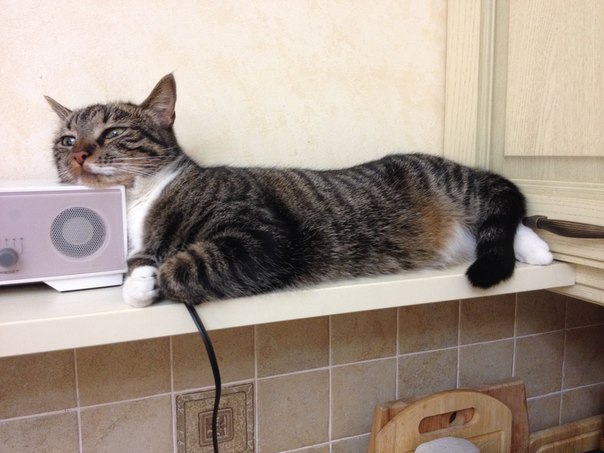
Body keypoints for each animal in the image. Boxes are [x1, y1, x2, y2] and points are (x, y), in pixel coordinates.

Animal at [45, 74, 553, 307]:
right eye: (67, 139)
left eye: (113, 132)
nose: (79, 155)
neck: (138, 199)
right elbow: (136, 267)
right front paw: (139, 280)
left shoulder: (262, 238)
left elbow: (185, 266)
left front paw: (158, 277)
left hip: (457, 187)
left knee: (506, 210)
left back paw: (538, 250)